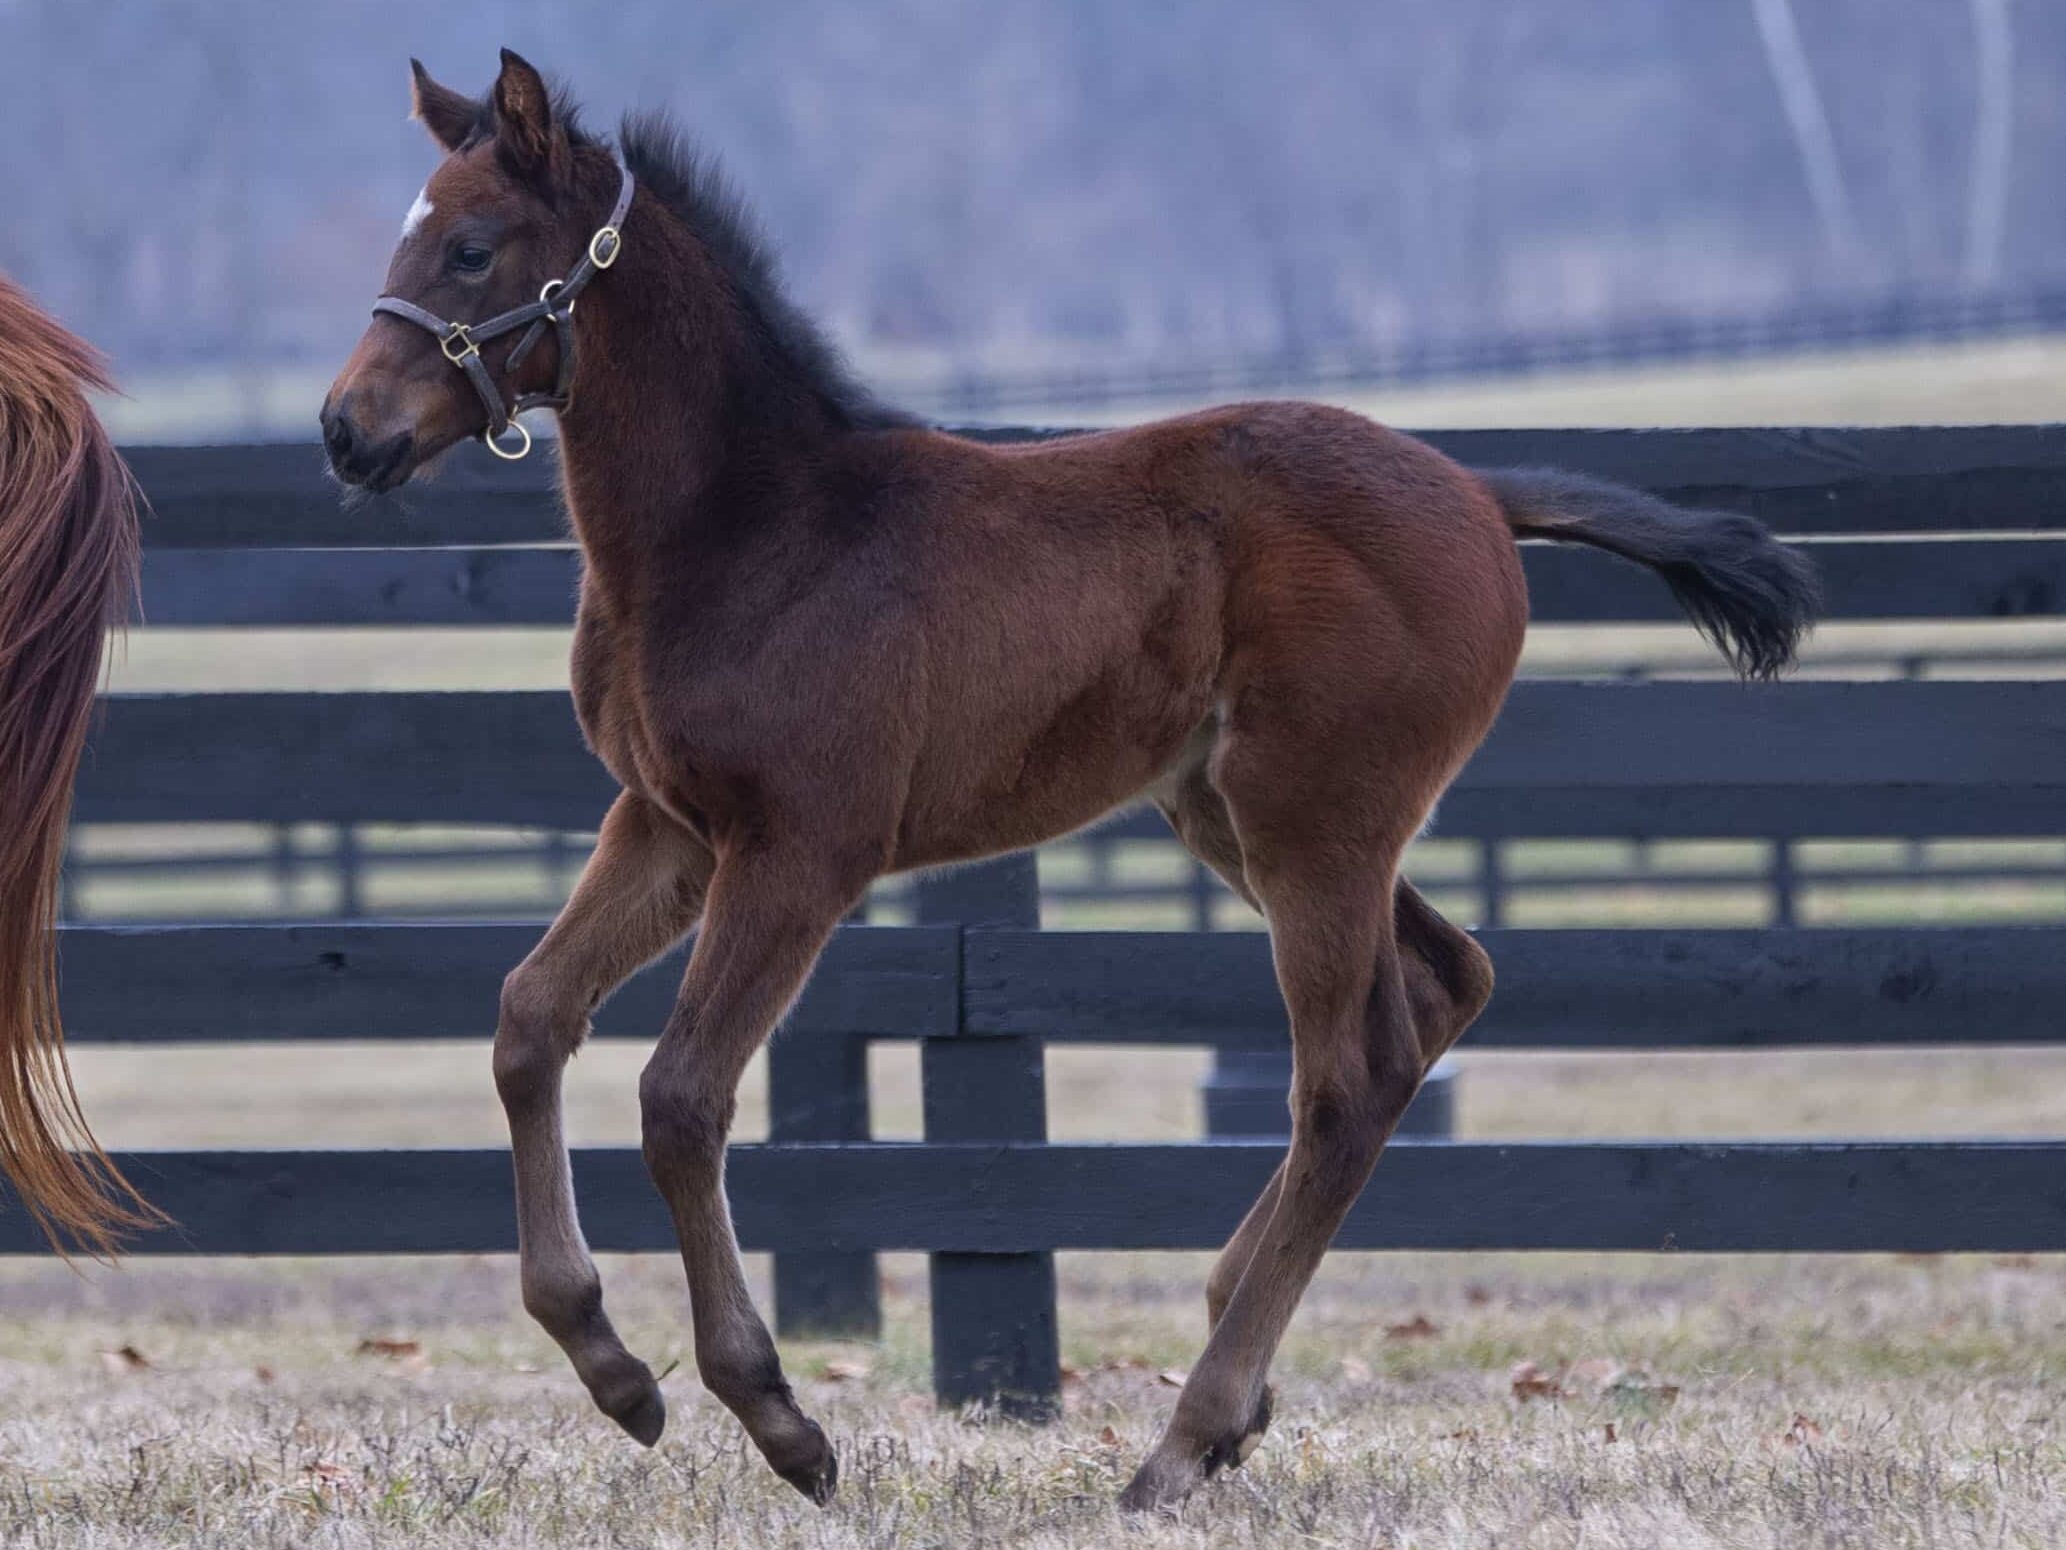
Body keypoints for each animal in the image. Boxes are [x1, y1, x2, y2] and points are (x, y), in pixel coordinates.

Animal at [319, 51, 1818, 1512]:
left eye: (470, 248)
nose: (344, 430)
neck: (750, 531)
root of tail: (1473, 492)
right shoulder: (669, 824)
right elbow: (529, 1020)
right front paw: (611, 1365)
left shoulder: (801, 849)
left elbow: (680, 1096)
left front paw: (777, 1415)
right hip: (1236, 812)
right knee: (1442, 988)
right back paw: (1231, 1380)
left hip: (1313, 819)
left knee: (1346, 1078)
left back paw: (1179, 1440)